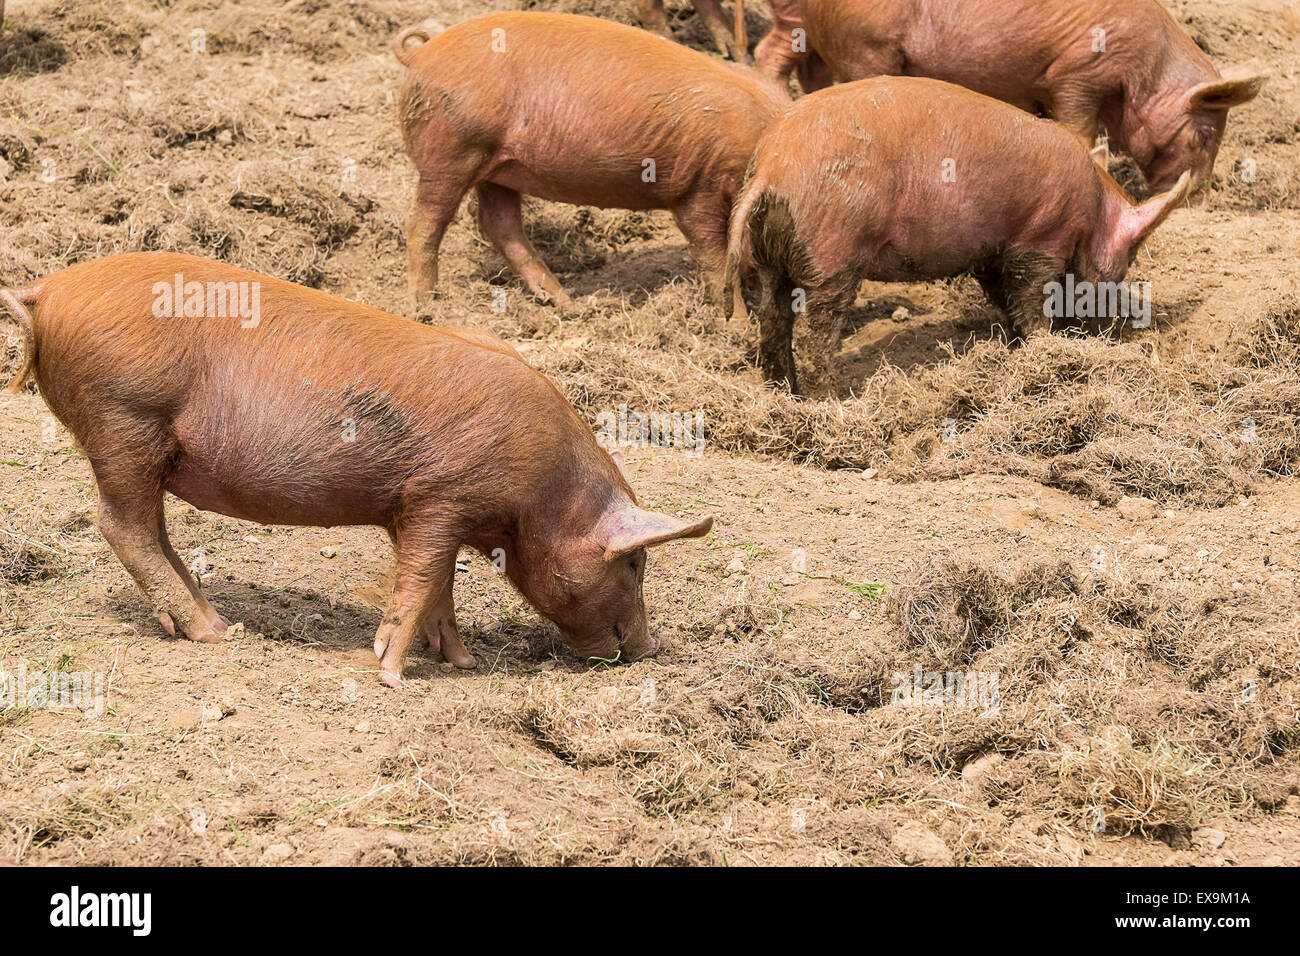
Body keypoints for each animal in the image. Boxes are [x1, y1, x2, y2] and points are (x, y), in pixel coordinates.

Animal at [1, 253, 713, 687]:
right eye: (635, 562)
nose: (649, 649)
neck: (541, 494)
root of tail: (47, 290)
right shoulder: (441, 497)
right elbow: (420, 581)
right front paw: (392, 673)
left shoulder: (411, 508)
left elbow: (437, 587)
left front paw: (463, 660)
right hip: (124, 420)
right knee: (121, 525)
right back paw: (213, 635)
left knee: (151, 531)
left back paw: (216, 622)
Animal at [392, 12, 789, 314]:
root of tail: (422, 52)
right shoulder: (700, 186)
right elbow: (715, 259)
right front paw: (738, 327)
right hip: (451, 151)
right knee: (424, 221)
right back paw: (424, 306)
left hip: (497, 167)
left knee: (499, 224)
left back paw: (566, 304)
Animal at [725, 77, 1192, 394]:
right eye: (1128, 259)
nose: (1112, 332)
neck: (1092, 203)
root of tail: (770, 167)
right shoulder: (1040, 238)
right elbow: (1031, 300)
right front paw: (1044, 346)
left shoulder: (992, 253)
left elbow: (1006, 299)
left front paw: (1016, 347)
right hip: (831, 252)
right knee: (814, 335)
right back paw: (834, 400)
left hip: (767, 252)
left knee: (772, 318)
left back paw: (781, 393)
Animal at [755, 0, 1266, 193]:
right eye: (1204, 135)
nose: (1197, 198)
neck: (1144, 70)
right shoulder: (1078, 72)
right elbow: (1079, 126)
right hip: (866, 45)